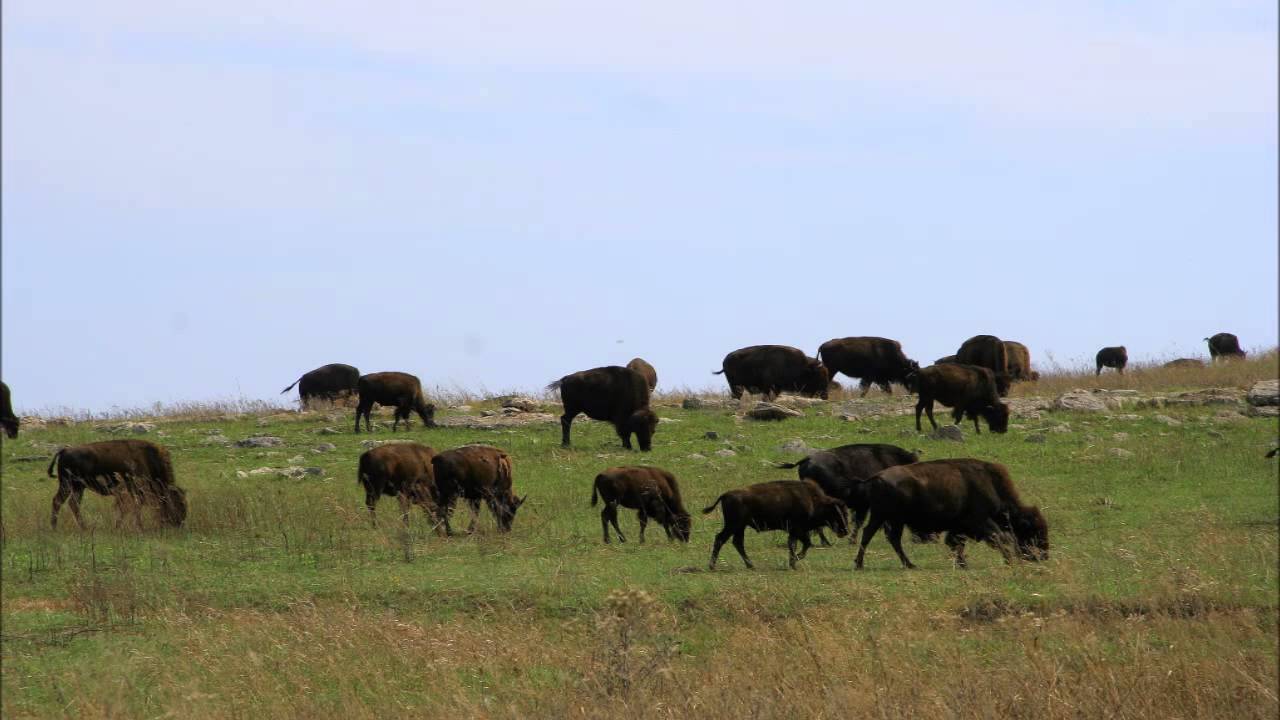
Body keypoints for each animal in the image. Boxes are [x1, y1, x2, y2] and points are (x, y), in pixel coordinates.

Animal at [47, 439, 188, 529]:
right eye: (179, 503)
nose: (180, 523)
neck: (148, 458)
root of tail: (65, 450)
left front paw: (119, 526)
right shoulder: (134, 490)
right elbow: (134, 507)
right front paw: (138, 527)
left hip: (77, 487)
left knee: (70, 503)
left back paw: (79, 527)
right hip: (69, 485)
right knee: (60, 502)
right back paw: (59, 527)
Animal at [704, 480, 849, 570]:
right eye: (836, 513)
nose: (845, 531)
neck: (814, 500)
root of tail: (725, 494)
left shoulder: (794, 531)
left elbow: (794, 544)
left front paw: (793, 563)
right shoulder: (798, 529)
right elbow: (805, 544)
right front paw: (796, 560)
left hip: (740, 527)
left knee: (737, 542)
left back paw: (751, 565)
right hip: (733, 525)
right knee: (721, 539)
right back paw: (712, 566)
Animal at [775, 443, 919, 543]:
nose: (917, 539)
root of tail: (807, 459)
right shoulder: (863, 506)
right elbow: (860, 521)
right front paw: (852, 540)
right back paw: (825, 542)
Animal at [854, 459, 1049, 570]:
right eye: (1034, 531)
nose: (1043, 556)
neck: (991, 485)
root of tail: (876, 477)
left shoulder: (960, 526)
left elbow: (956, 543)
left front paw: (962, 564)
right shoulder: (981, 521)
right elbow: (999, 538)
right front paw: (1009, 561)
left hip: (894, 520)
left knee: (892, 539)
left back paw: (909, 565)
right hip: (881, 516)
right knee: (869, 534)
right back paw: (860, 565)